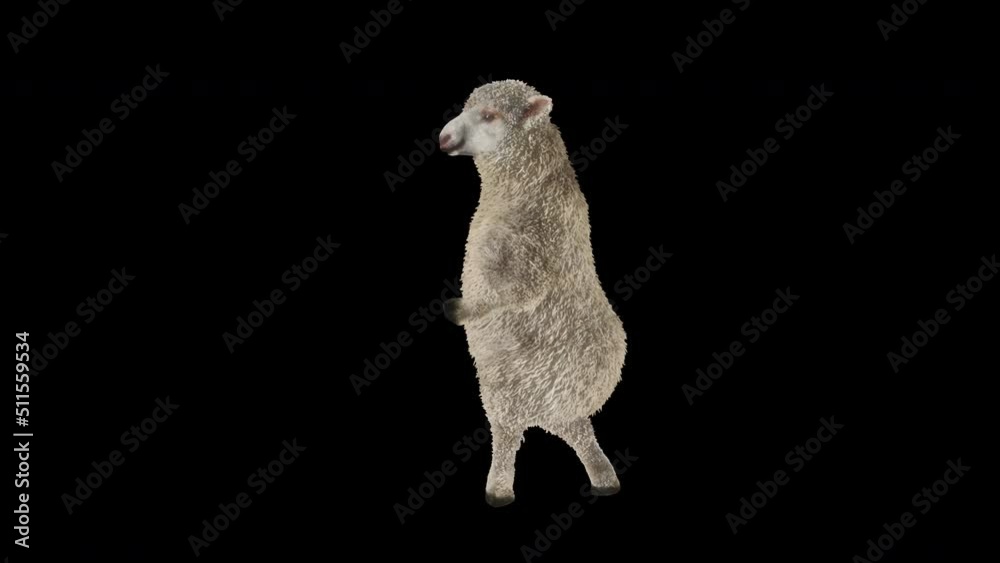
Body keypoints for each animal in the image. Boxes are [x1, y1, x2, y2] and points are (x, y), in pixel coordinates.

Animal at [438, 80, 627, 507]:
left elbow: (517, 293)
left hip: (518, 389)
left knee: (514, 435)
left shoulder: (534, 256)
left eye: (490, 115)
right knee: (551, 435)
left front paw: (460, 310)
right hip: (510, 392)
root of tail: (547, 413)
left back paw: (500, 488)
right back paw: (600, 478)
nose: (444, 138)